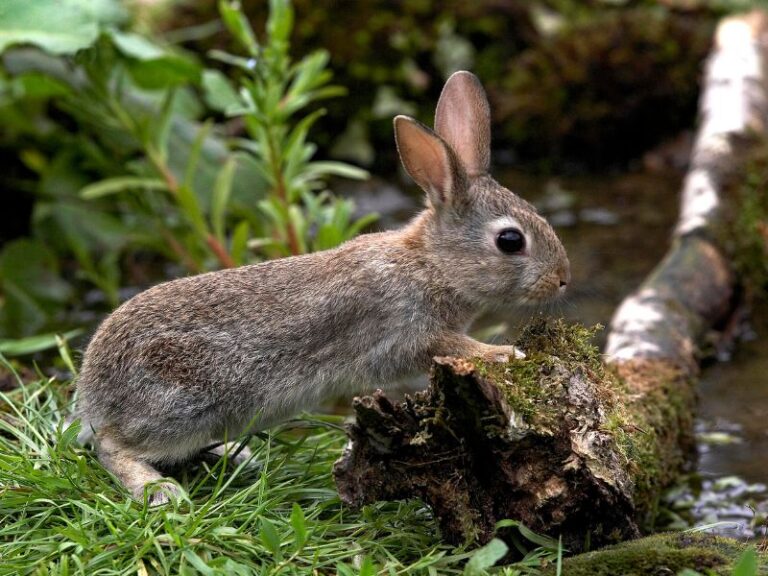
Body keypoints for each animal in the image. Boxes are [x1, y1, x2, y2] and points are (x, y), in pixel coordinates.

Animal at [74, 71, 571, 504]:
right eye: (510, 241)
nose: (563, 278)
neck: (432, 265)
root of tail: (92, 395)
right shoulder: (405, 334)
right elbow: (447, 347)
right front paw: (504, 352)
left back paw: (236, 455)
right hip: (184, 403)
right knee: (112, 448)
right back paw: (158, 490)